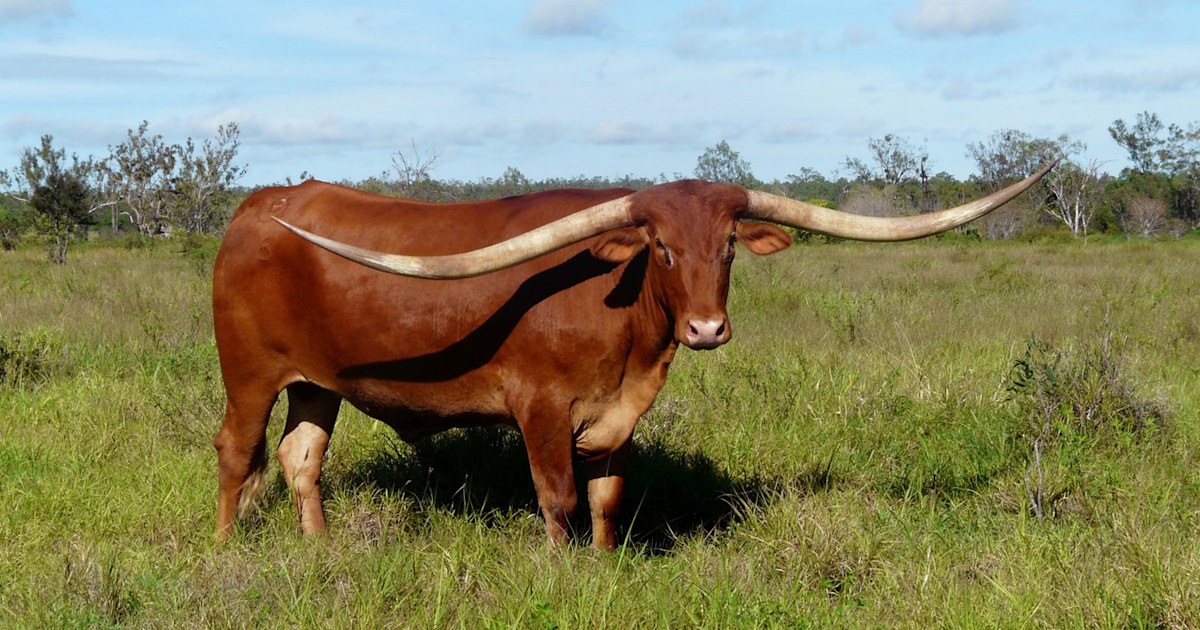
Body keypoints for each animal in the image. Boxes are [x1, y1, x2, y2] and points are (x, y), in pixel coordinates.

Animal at [212, 164, 1052, 549]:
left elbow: (608, 499)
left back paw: (322, 549)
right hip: (250, 375)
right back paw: (224, 547)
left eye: (728, 245)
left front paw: (603, 563)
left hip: (316, 384)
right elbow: (557, 499)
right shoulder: (541, 410)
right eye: (662, 248)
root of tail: (260, 206)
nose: (707, 329)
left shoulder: (619, 417)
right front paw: (564, 570)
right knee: (236, 452)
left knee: (299, 459)